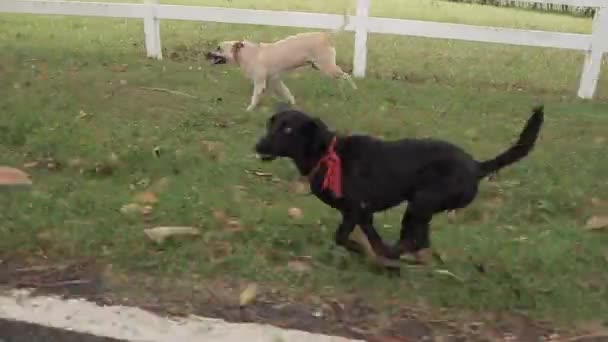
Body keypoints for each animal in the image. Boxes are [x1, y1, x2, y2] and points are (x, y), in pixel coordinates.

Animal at [207, 15, 356, 111]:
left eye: (219, 48)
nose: (206, 54)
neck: (249, 54)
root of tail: (324, 35)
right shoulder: (275, 81)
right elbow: (287, 93)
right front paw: (292, 104)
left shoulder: (259, 83)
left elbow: (255, 98)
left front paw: (249, 109)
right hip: (320, 67)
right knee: (342, 78)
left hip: (327, 67)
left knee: (346, 76)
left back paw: (352, 91)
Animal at [254, 105, 544, 264]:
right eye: (271, 125)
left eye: (288, 129)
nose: (258, 145)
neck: (327, 153)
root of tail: (477, 166)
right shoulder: (363, 214)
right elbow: (370, 237)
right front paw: (372, 251)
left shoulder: (356, 209)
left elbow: (343, 237)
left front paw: (363, 251)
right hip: (420, 208)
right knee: (419, 240)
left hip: (422, 202)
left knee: (415, 241)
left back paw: (396, 257)